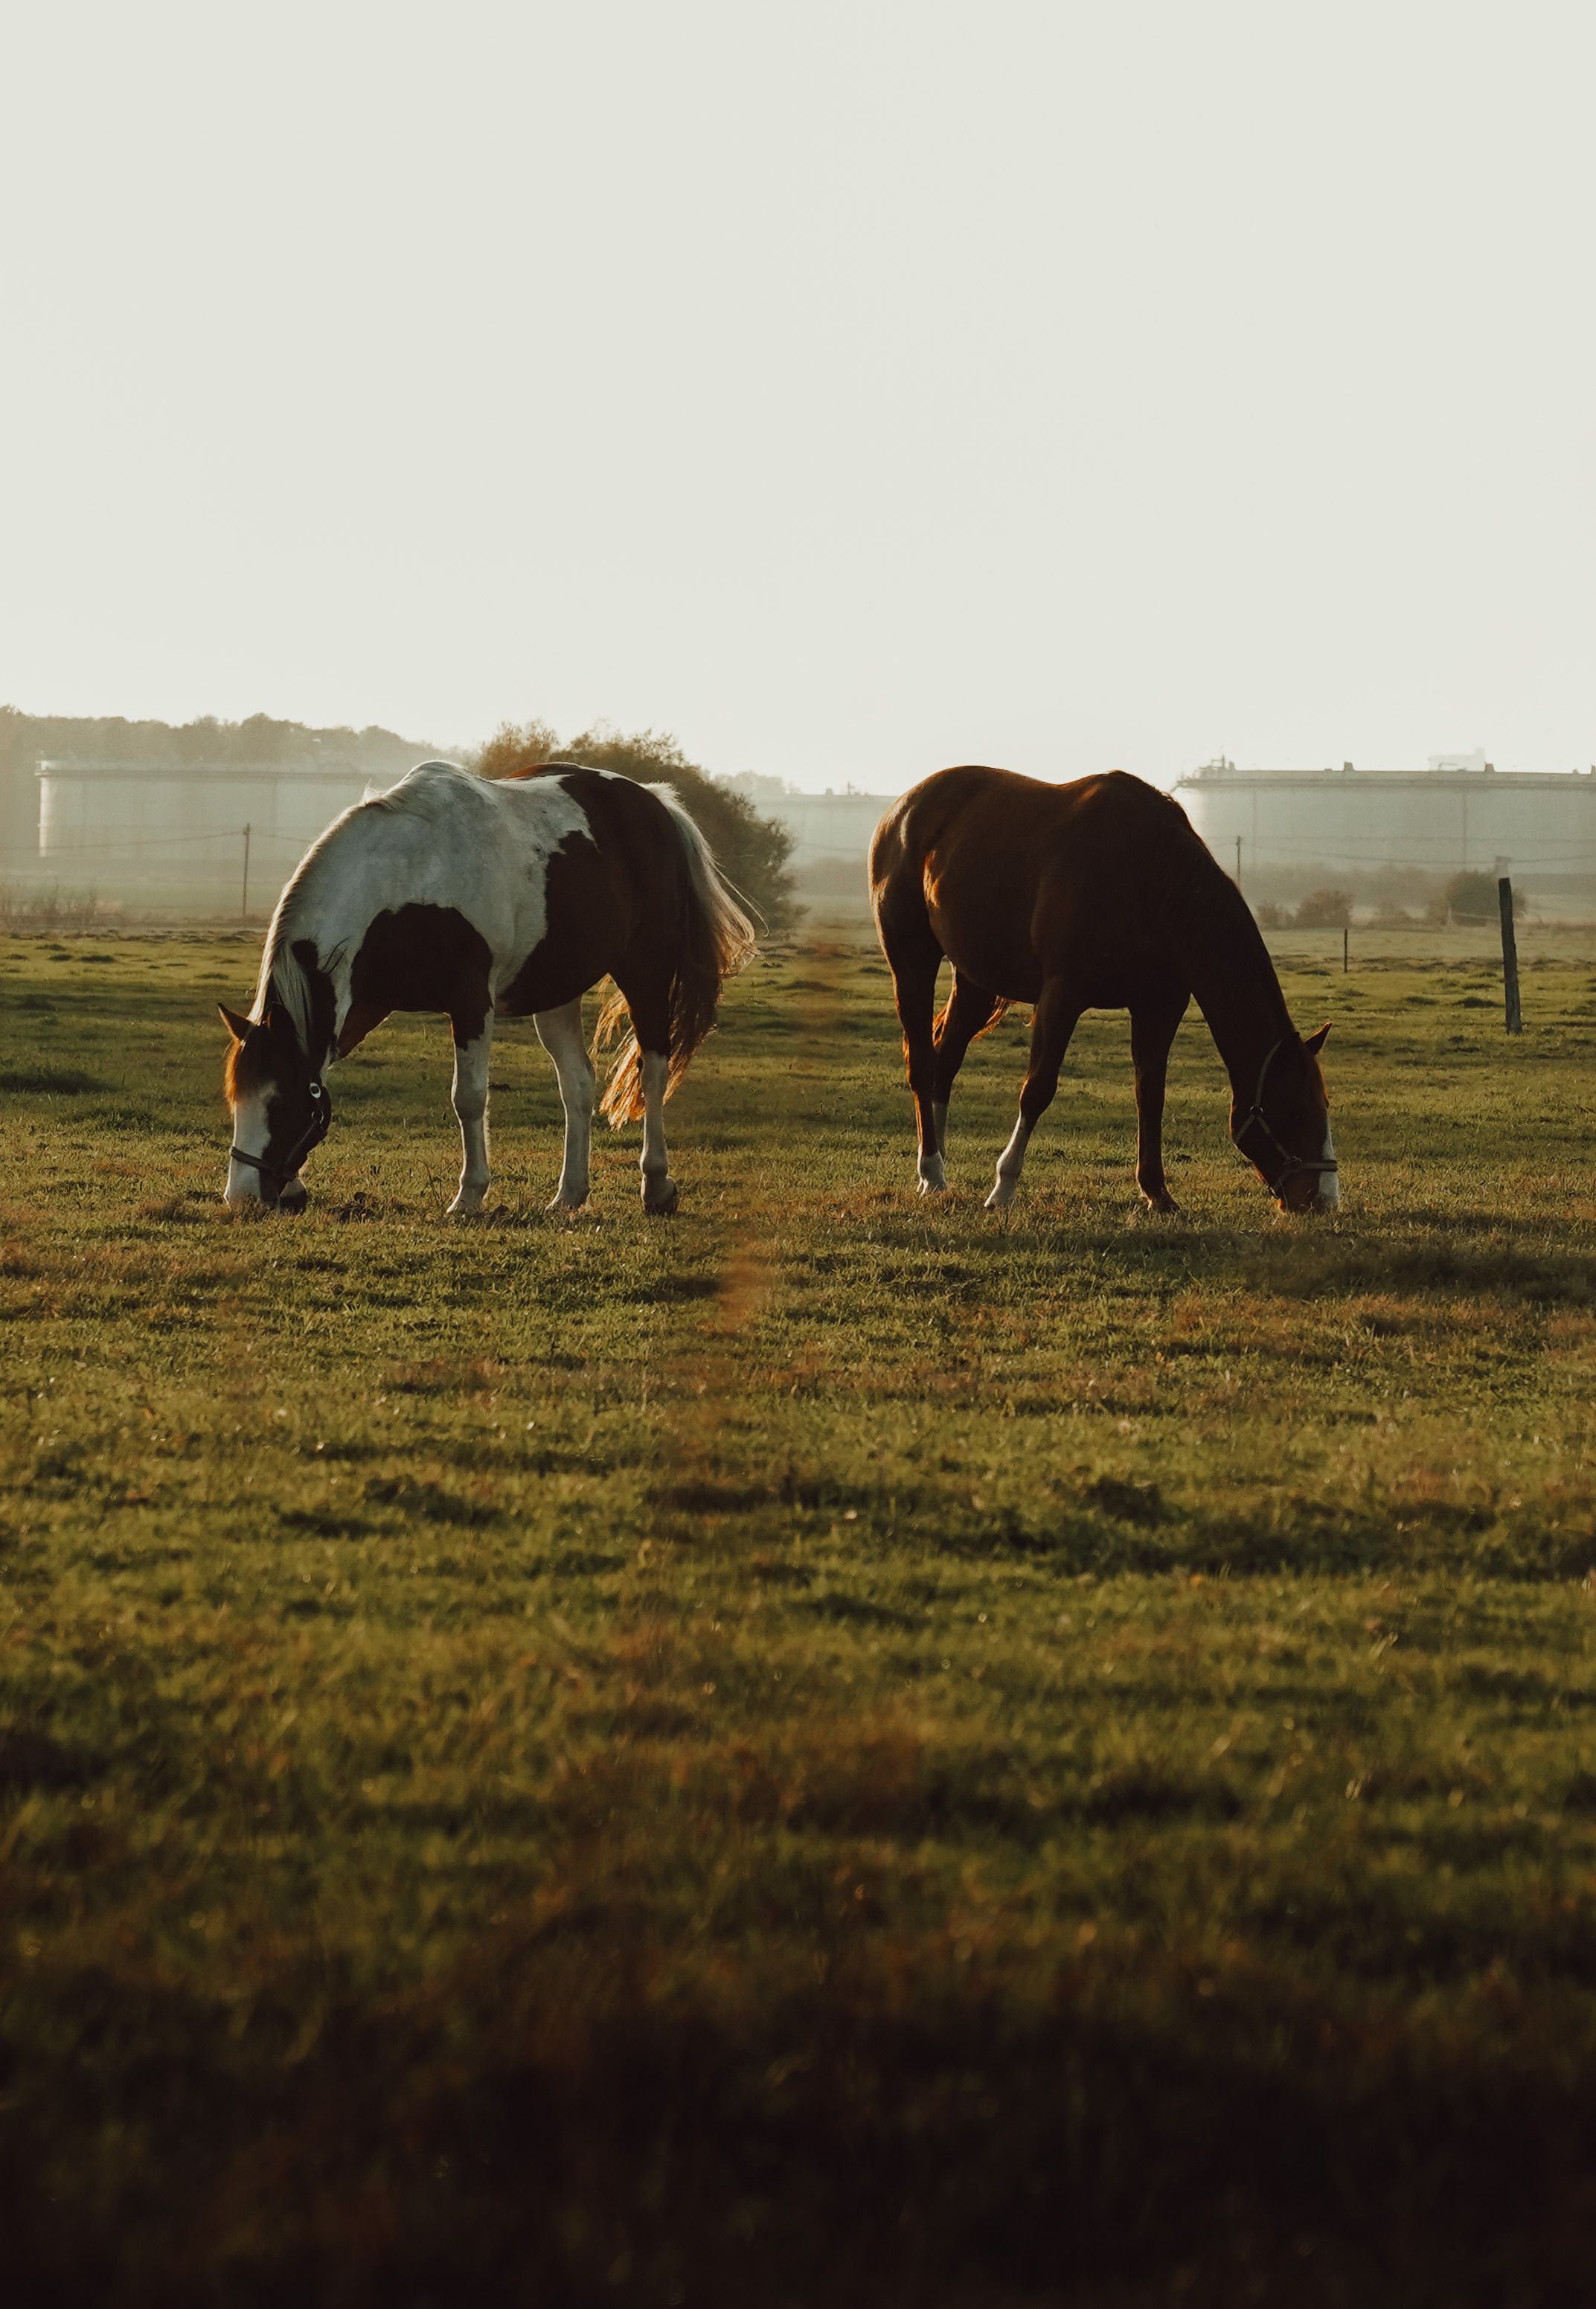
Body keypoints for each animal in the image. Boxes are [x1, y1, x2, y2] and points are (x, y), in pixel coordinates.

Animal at [220, 760, 755, 1215]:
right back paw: (569, 1194)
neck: (409, 875)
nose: (240, 1198)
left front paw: (470, 1194)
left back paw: (656, 1185)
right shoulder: (356, 1007)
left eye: (279, 1104)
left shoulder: (471, 1003)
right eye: (236, 1099)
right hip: (557, 990)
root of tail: (654, 802)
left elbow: (469, 1097)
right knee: (577, 1083)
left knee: (653, 1073)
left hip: (645, 971)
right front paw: (294, 1184)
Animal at [869, 765, 1339, 1215]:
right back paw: (931, 1172)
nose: (1324, 1199)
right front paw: (1003, 1188)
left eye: (1324, 1106)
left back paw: (937, 1164)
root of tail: (901, 809)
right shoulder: (1061, 997)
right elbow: (1037, 1090)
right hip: (911, 961)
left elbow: (1150, 1095)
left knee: (945, 1061)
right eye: (1294, 1109)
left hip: (975, 979)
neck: (1150, 877)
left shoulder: (1159, 1006)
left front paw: (1157, 1193)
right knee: (923, 1062)